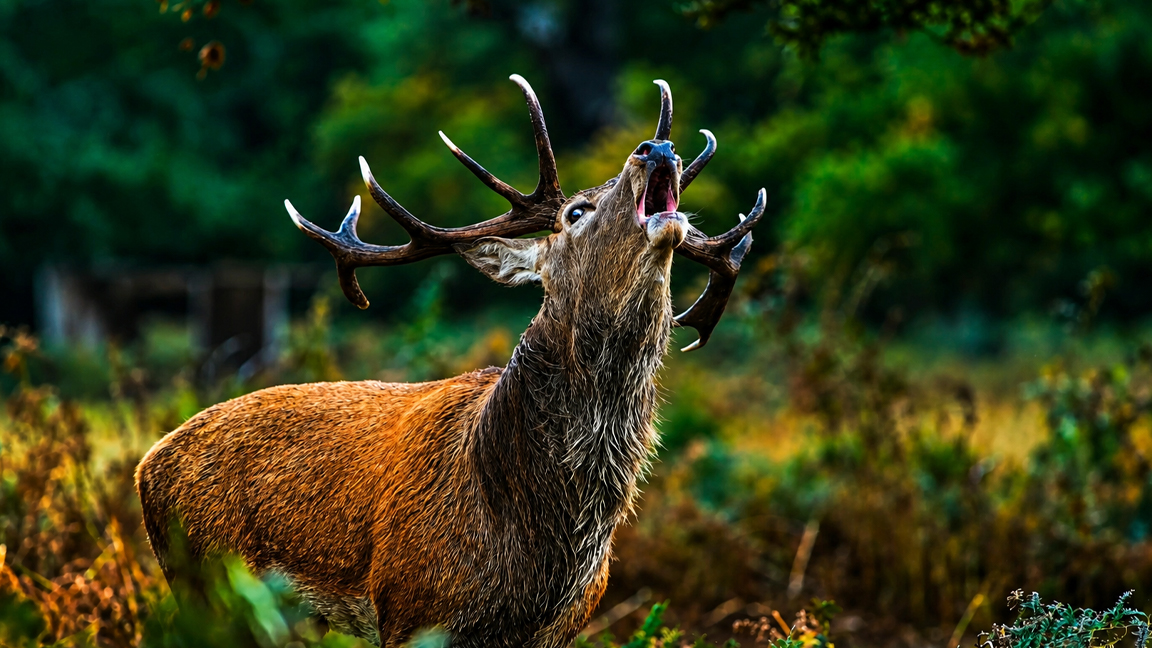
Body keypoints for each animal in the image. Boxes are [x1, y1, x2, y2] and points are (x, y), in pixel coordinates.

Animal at [135, 75, 766, 648]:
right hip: (204, 580)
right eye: (576, 213)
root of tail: (148, 465)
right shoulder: (410, 607)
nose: (657, 148)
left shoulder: (565, 624)